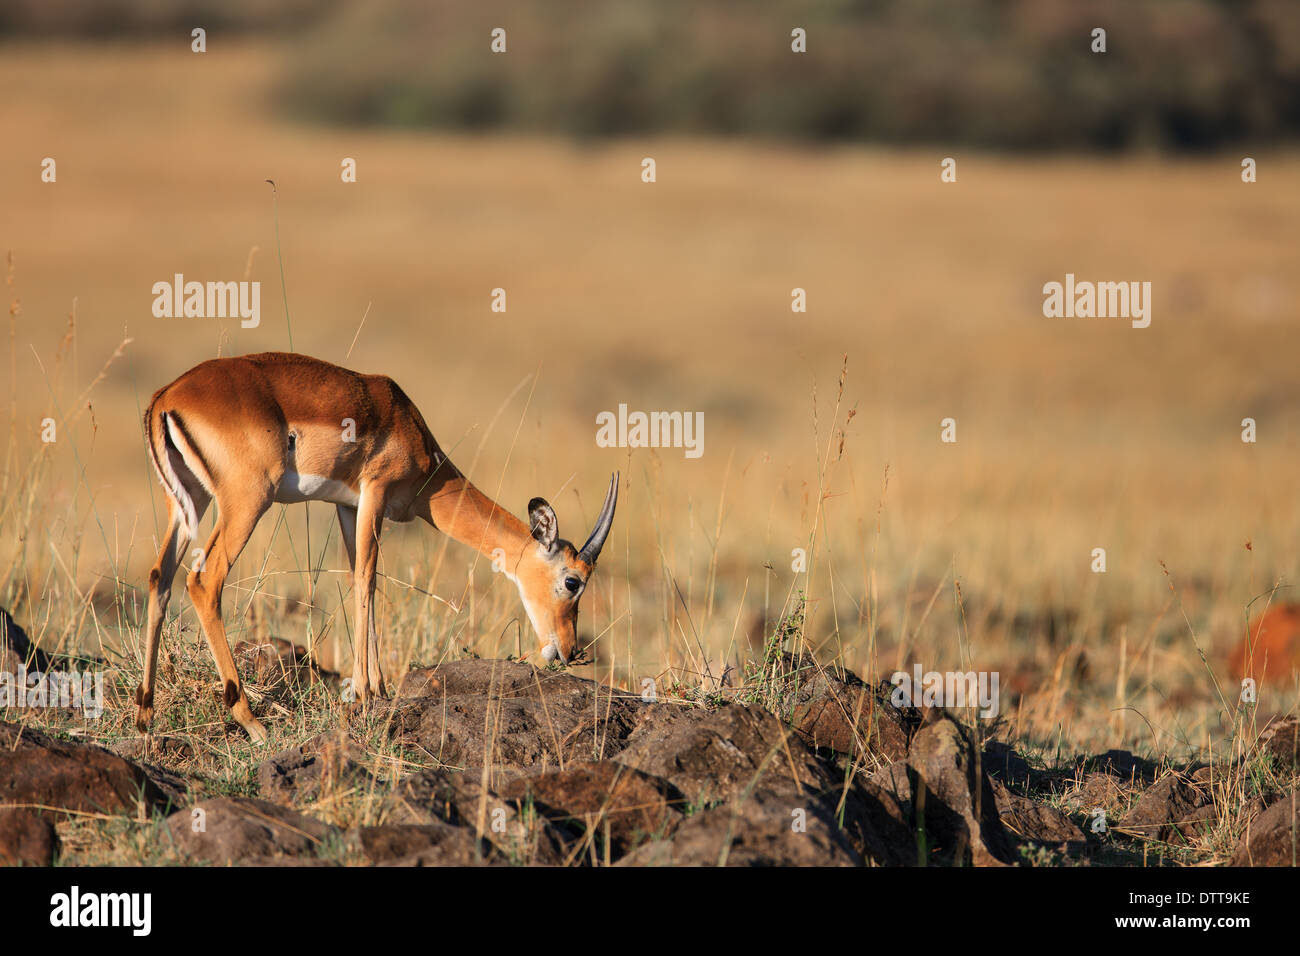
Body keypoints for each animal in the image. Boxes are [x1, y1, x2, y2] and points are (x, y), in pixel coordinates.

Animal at [136, 351, 618, 743]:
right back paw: (251, 722)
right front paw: (366, 693)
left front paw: (379, 689)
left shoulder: (348, 506)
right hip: (247, 500)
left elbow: (358, 579)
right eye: (572, 581)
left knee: (160, 577)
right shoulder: (375, 494)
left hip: (189, 504)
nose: (568, 650)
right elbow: (368, 581)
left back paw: (145, 716)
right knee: (204, 580)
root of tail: (166, 396)